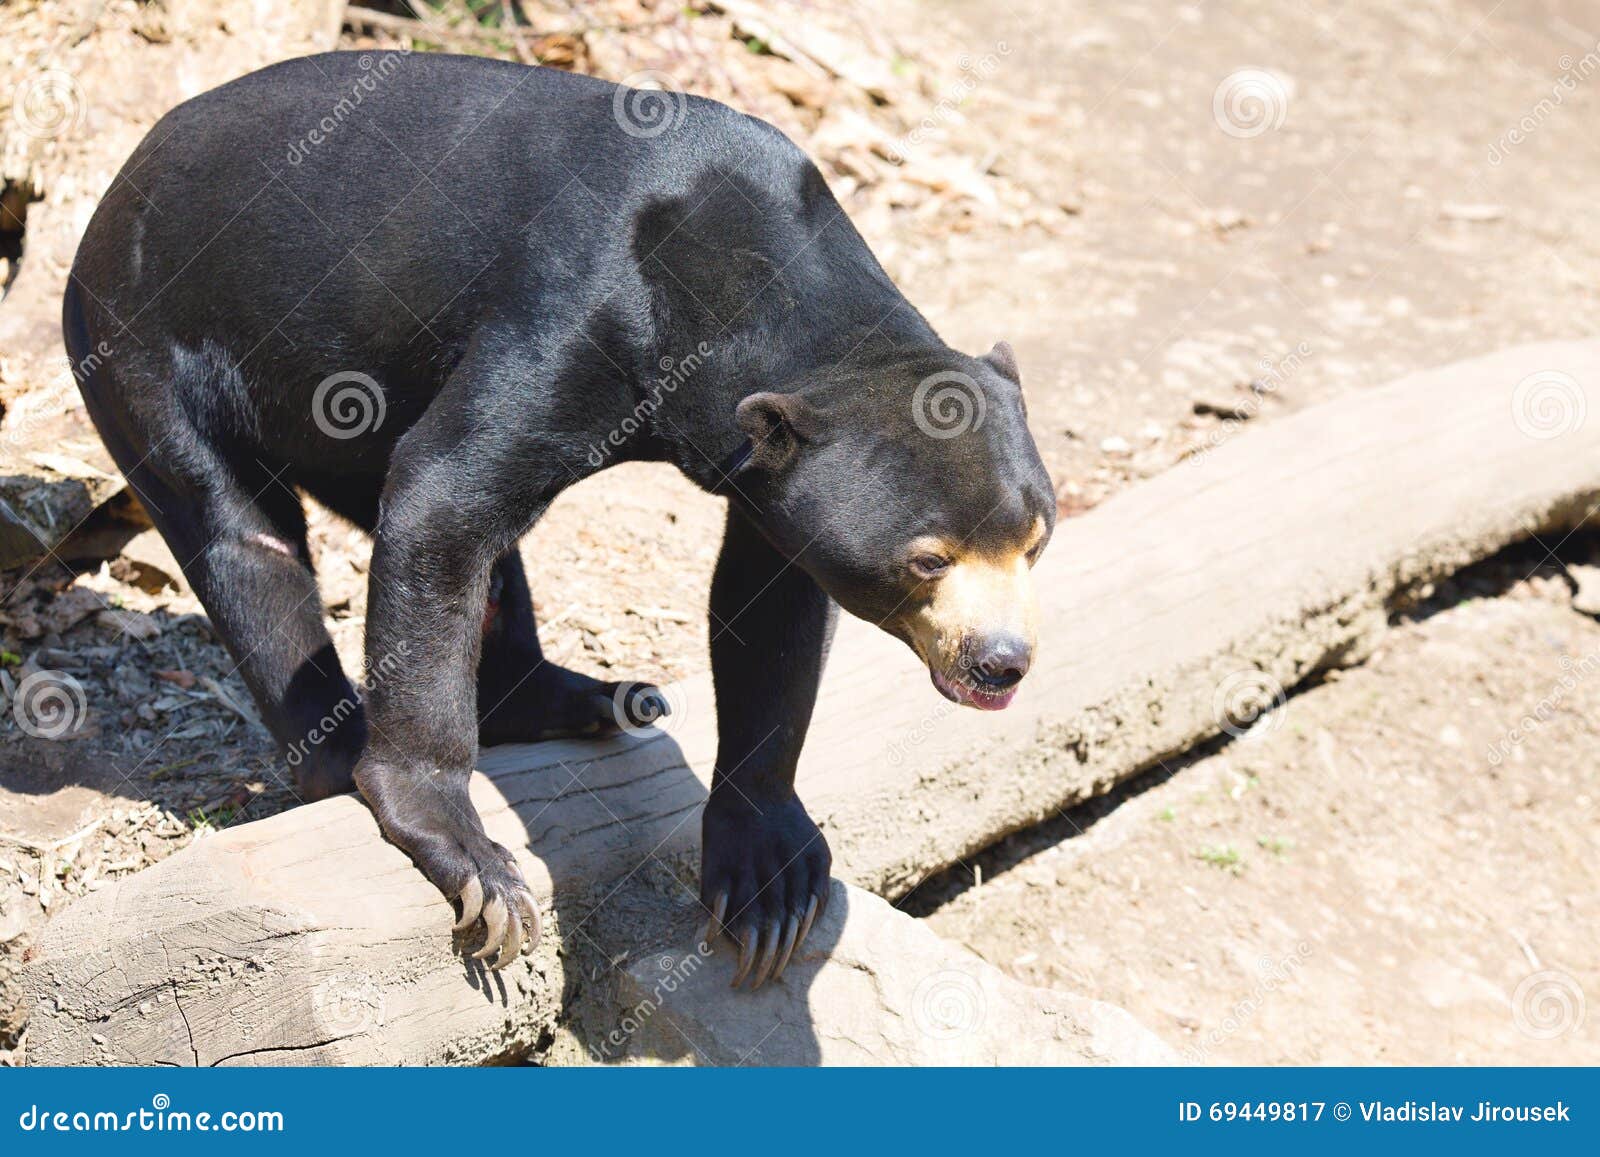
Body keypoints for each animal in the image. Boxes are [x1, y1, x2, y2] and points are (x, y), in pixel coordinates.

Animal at [64, 52, 1054, 990]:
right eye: (929, 559)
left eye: (1036, 542)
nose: (1003, 662)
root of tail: (114, 189)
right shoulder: (574, 312)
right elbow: (442, 487)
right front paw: (473, 863)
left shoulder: (762, 467)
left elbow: (767, 606)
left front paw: (769, 883)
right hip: (150, 348)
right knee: (248, 543)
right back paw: (335, 752)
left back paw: (596, 697)